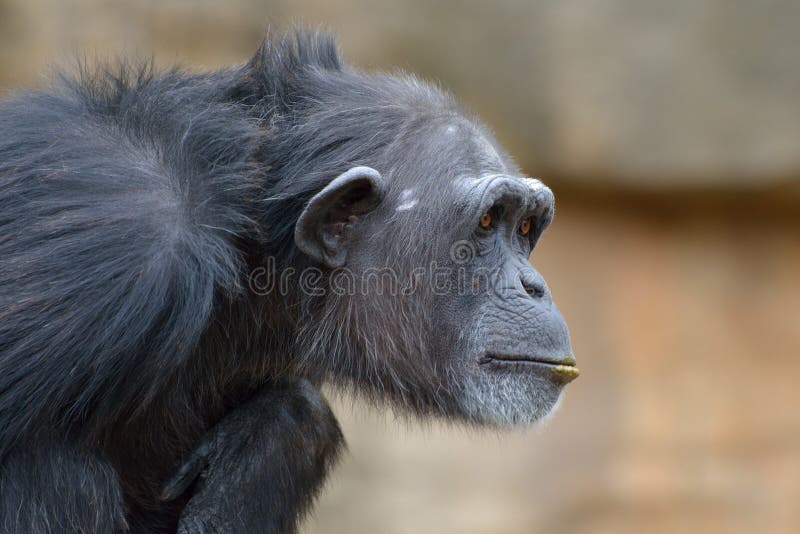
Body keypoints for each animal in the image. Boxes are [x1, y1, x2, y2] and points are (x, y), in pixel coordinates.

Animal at [0, 30, 578, 533]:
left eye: (526, 227)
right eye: (488, 220)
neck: (259, 246)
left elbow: (295, 420)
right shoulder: (108, 246)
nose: (534, 286)